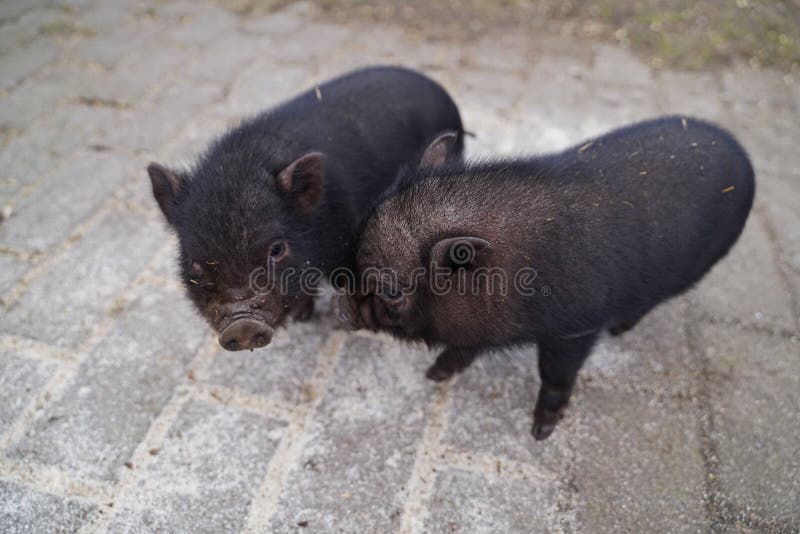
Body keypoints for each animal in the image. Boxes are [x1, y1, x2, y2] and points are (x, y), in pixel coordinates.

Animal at [335, 116, 755, 440]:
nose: (343, 305)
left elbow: (555, 376)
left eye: (392, 293)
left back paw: (619, 329)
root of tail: (745, 158)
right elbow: (462, 349)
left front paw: (540, 433)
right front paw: (434, 375)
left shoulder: (573, 331)